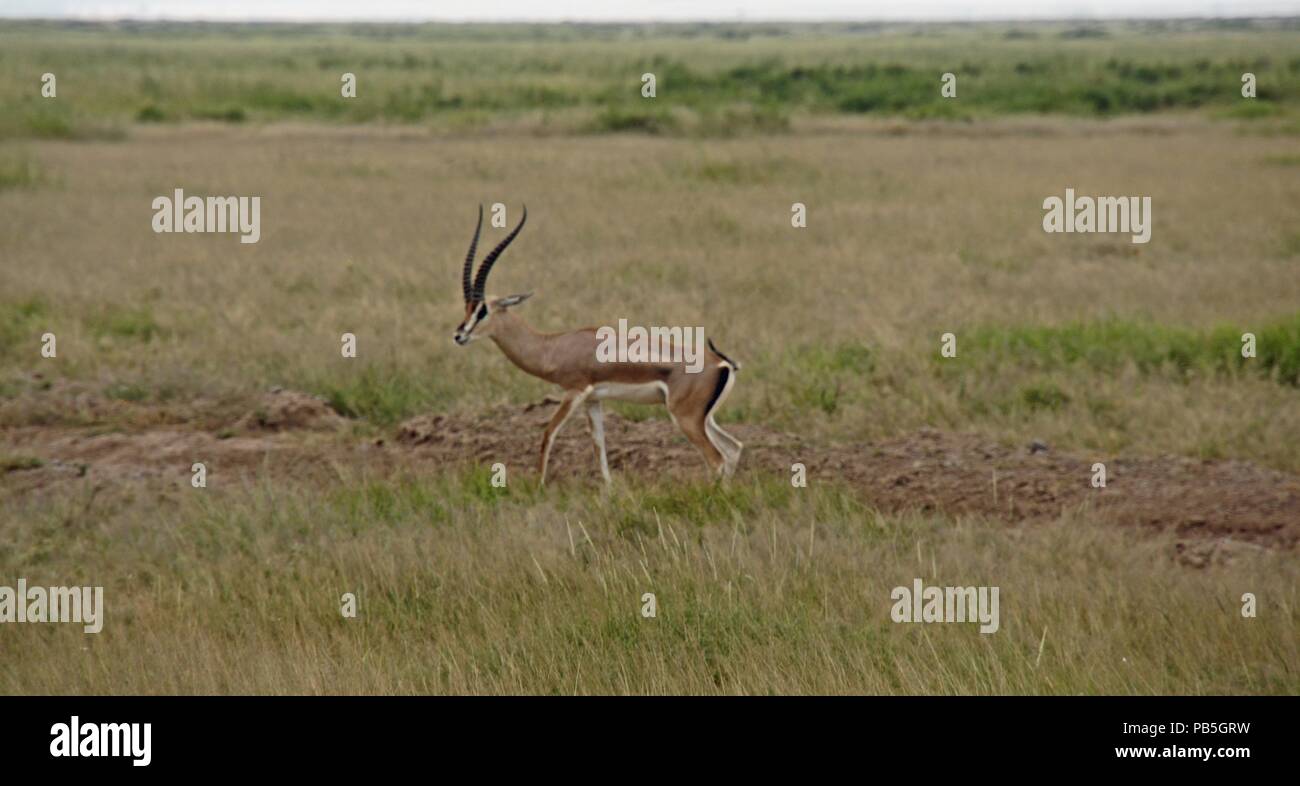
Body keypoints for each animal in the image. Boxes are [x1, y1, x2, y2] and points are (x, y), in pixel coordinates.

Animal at [452, 205, 743, 485]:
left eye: (482, 310)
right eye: (467, 307)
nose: (459, 335)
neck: (553, 346)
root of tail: (722, 363)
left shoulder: (575, 392)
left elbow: (548, 434)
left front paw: (538, 487)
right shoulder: (593, 400)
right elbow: (598, 445)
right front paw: (608, 490)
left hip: (686, 418)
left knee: (717, 460)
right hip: (705, 419)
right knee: (733, 449)